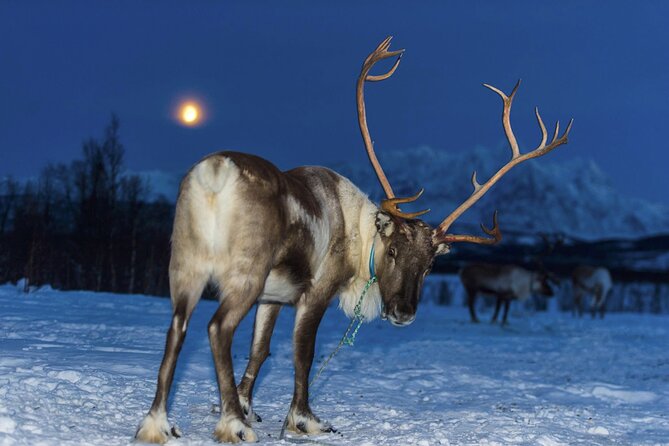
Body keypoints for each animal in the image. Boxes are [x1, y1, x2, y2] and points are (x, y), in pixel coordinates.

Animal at [135, 36, 572, 444]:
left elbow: (260, 350)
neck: (360, 234)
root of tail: (216, 173)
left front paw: (247, 406)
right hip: (245, 272)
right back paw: (232, 426)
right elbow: (303, 354)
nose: (404, 312)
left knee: (177, 327)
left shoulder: (273, 298)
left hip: (185, 264)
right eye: (393, 250)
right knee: (217, 329)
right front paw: (303, 420)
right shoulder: (315, 291)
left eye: (431, 265)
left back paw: (157, 424)